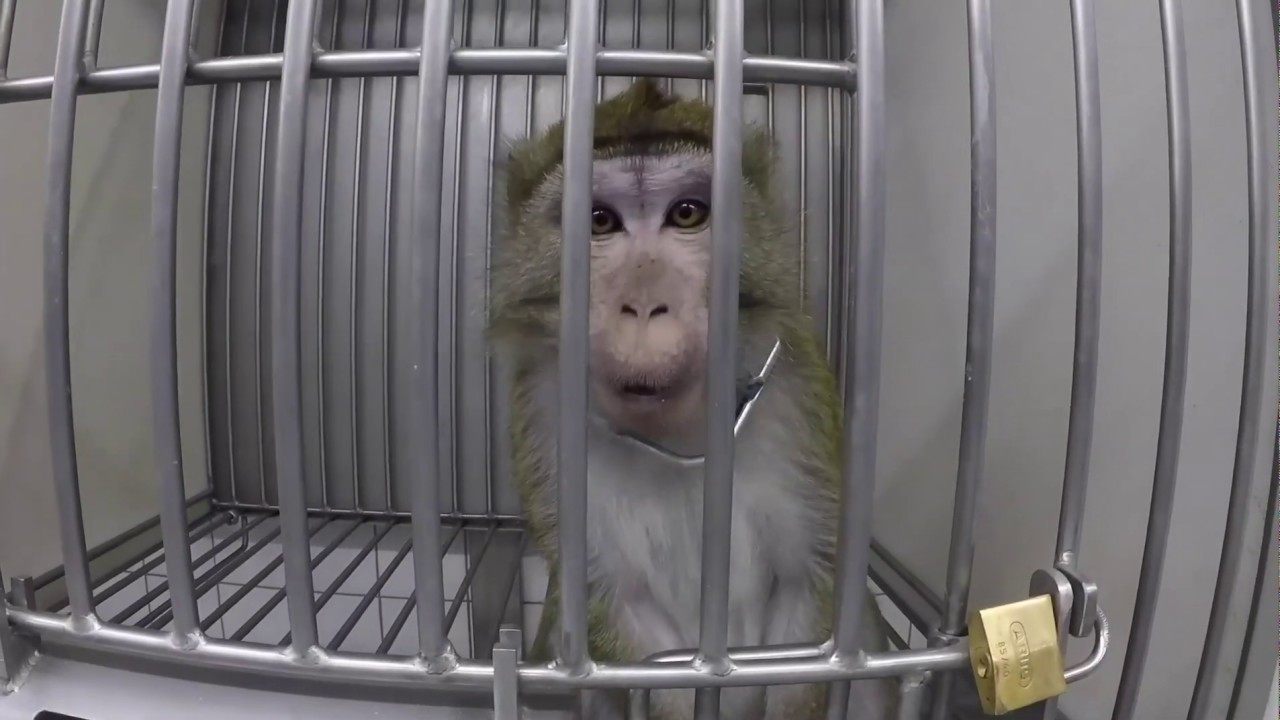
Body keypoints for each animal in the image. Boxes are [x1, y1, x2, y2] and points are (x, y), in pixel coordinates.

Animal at [487, 78, 898, 720]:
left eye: (686, 213)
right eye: (599, 221)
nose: (643, 304)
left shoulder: (796, 396)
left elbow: (808, 593)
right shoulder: (543, 412)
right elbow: (619, 611)